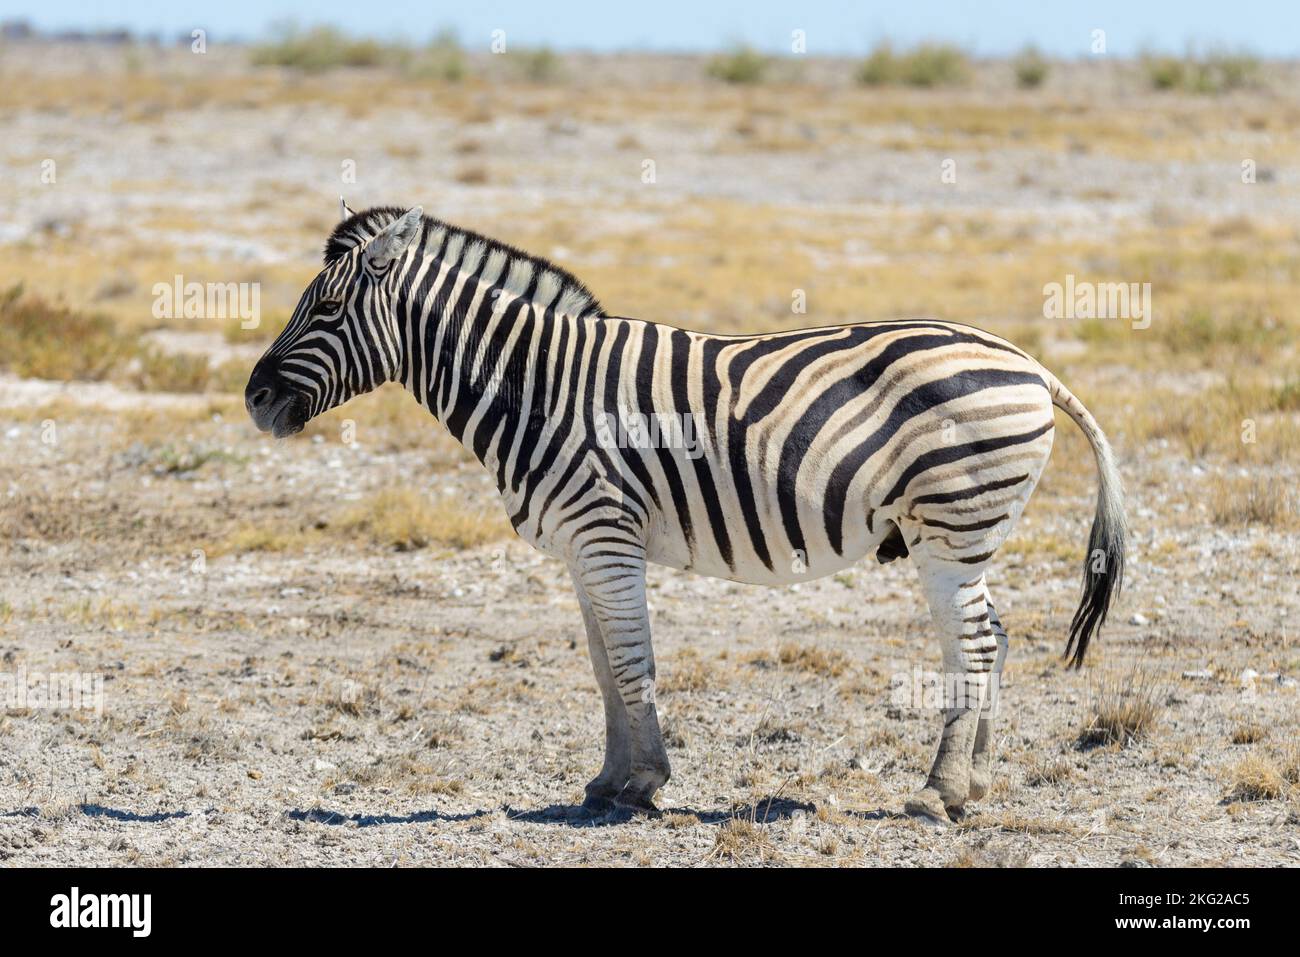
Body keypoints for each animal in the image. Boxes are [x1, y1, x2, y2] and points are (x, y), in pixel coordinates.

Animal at [245, 203, 1126, 822]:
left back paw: (939, 791)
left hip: (950, 522)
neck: (536, 386)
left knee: (972, 644)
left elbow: (634, 662)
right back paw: (974, 780)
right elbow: (603, 666)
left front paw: (645, 784)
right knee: (992, 637)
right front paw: (608, 780)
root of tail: (1030, 363)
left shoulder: (605, 534)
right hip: (963, 534)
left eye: (325, 311)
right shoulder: (582, 547)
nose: (253, 399)